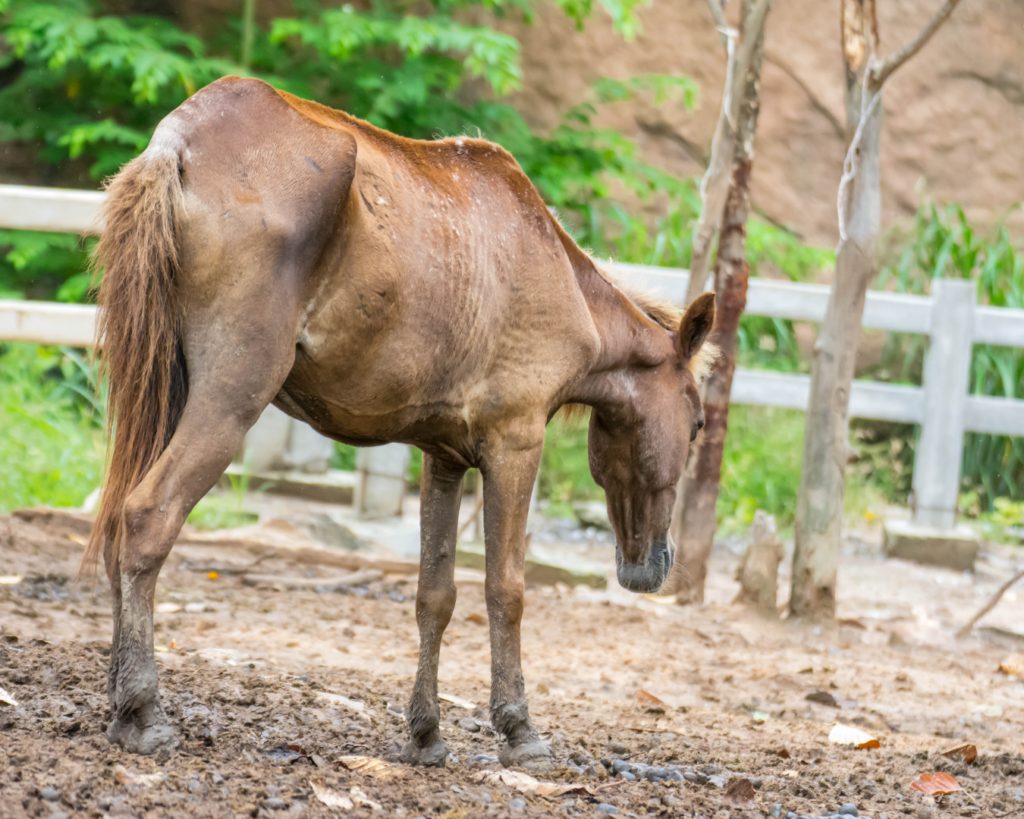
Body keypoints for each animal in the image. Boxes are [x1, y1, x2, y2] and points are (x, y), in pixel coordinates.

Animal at [85, 75, 717, 770]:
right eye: (696, 425)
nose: (652, 566)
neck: (561, 279)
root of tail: (178, 141)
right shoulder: (515, 442)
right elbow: (506, 590)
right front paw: (518, 729)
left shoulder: (443, 457)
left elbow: (433, 596)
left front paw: (425, 733)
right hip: (231, 397)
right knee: (148, 518)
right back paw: (143, 710)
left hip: (167, 393)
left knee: (116, 524)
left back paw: (118, 703)